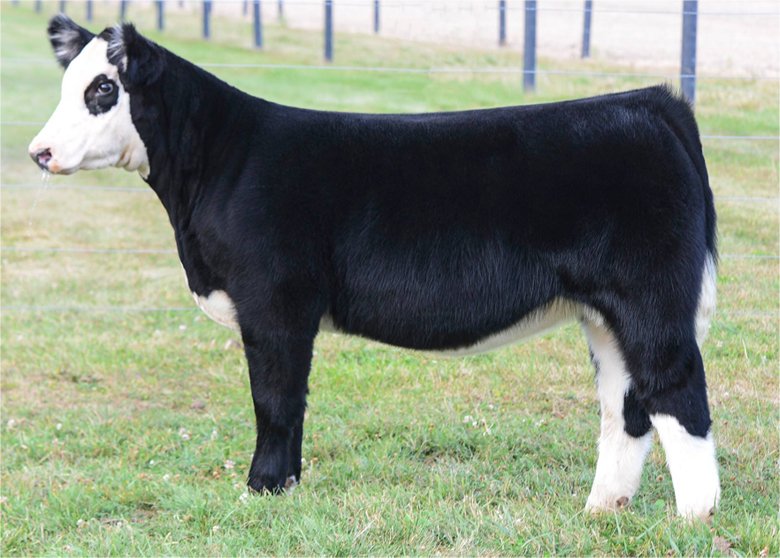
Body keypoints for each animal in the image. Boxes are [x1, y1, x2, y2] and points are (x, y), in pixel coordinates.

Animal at [29, 15, 720, 519]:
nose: (39, 152)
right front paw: (285, 489)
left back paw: (694, 518)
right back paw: (602, 508)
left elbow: (275, 402)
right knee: (626, 406)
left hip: (651, 300)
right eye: (68, 86)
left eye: (102, 90)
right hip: (604, 315)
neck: (218, 167)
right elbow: (288, 406)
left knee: (678, 391)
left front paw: (262, 491)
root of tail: (648, 102)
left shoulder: (274, 304)